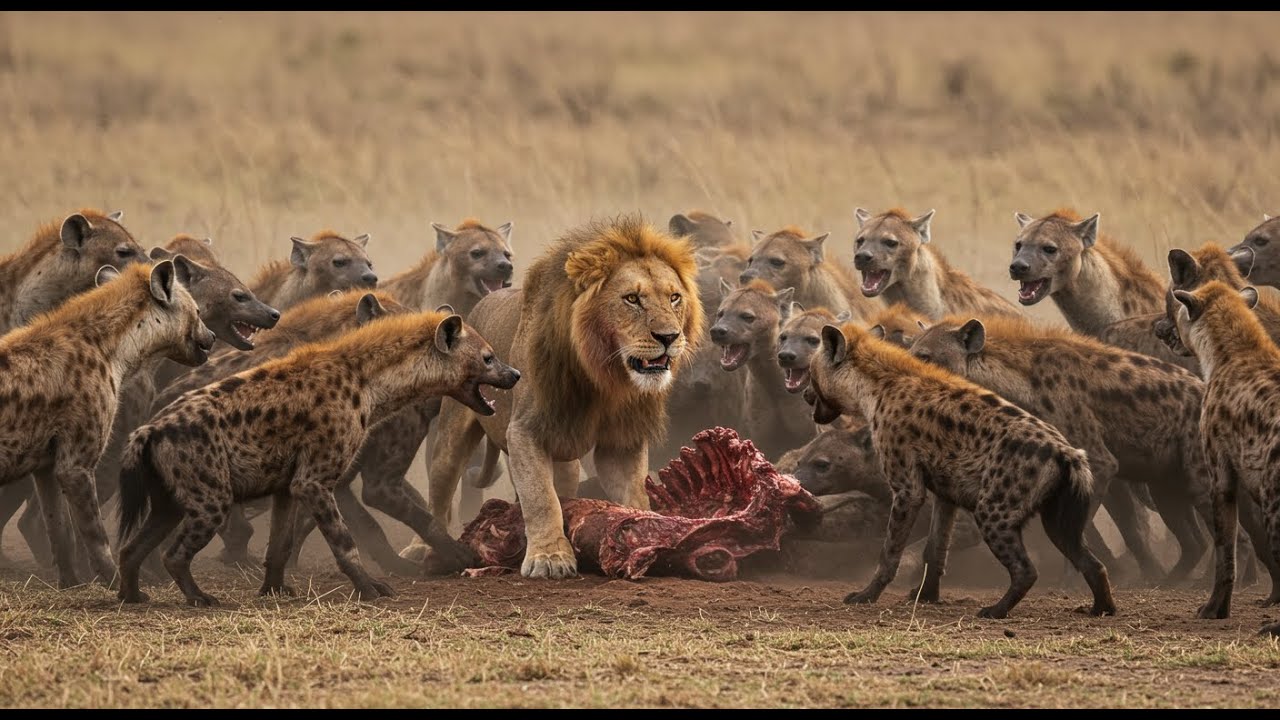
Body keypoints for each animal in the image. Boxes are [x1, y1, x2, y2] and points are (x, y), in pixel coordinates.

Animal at [409, 215, 703, 578]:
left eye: (674, 298)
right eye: (632, 299)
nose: (669, 337)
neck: (604, 376)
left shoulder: (621, 442)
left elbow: (634, 493)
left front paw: (647, 534)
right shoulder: (525, 431)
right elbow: (541, 498)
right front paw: (549, 557)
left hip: (566, 458)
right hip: (451, 437)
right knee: (440, 490)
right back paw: (422, 549)